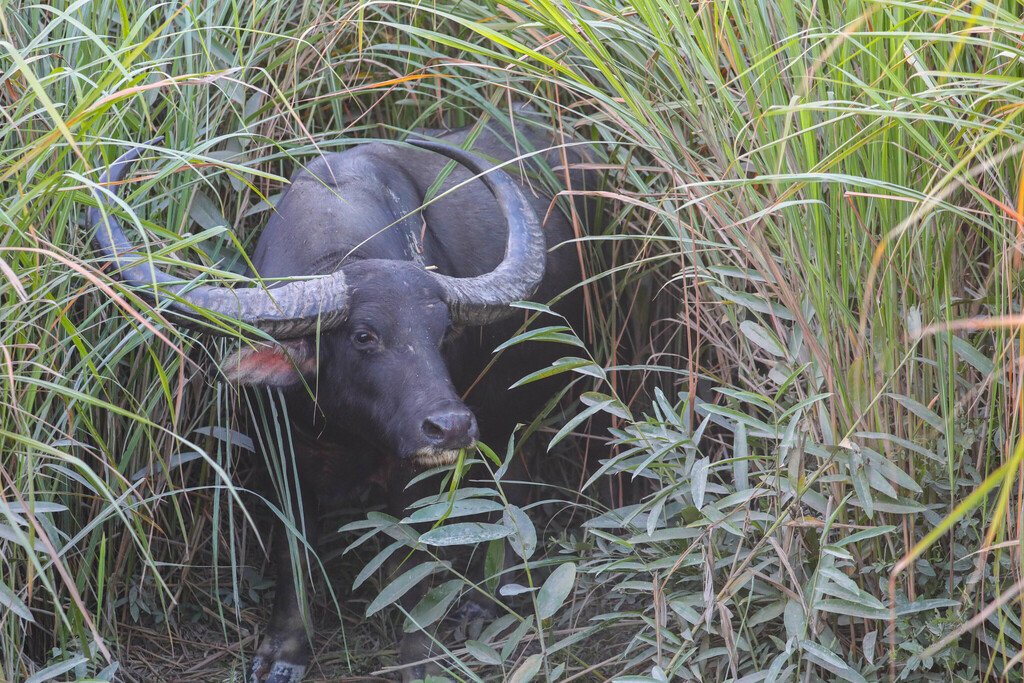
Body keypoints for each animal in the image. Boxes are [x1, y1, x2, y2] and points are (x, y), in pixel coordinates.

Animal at [88, 109, 595, 682]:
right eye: (364, 336)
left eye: (443, 333)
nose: (451, 427)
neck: (341, 428)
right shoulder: (279, 458)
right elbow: (291, 552)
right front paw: (283, 654)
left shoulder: (412, 475)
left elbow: (413, 564)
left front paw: (417, 660)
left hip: (518, 410)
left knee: (515, 489)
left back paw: (487, 603)